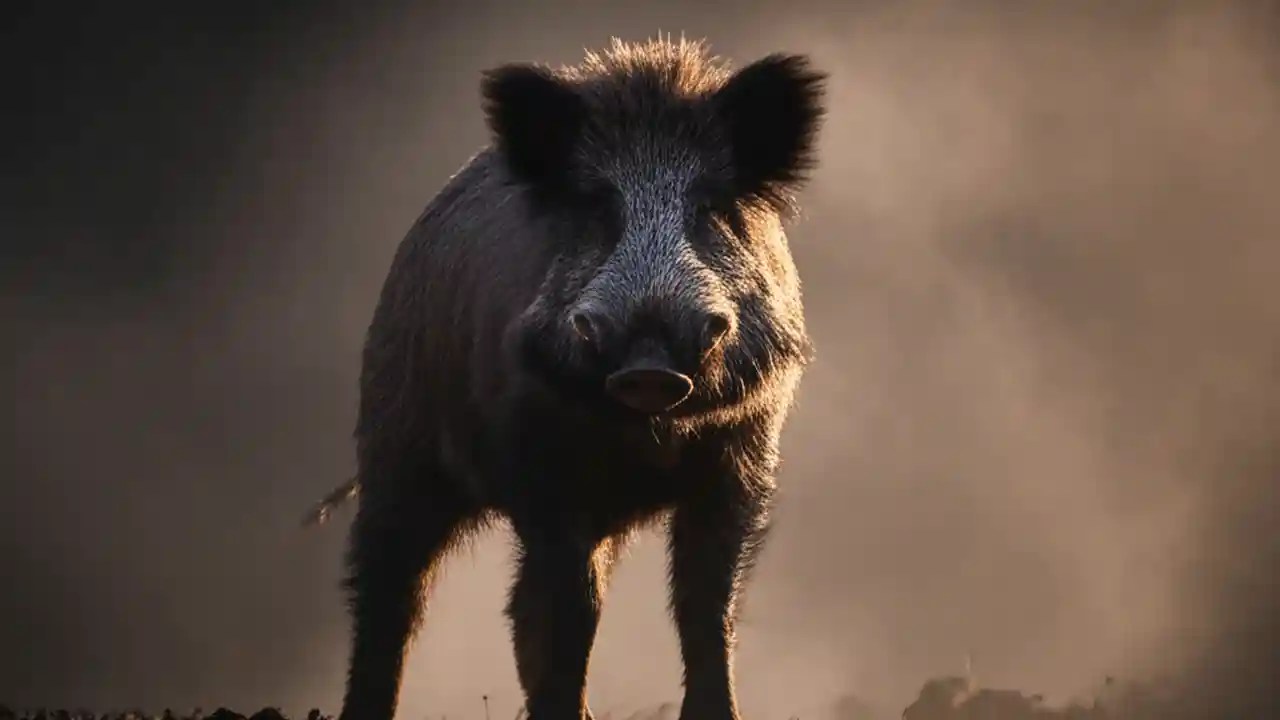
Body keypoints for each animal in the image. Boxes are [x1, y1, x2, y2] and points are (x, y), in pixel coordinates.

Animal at [310, 37, 827, 720]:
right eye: (599, 207)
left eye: (708, 208)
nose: (648, 368)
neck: (646, 435)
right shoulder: (539, 462)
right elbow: (568, 609)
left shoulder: (743, 449)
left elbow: (706, 601)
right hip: (396, 441)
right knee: (391, 585)